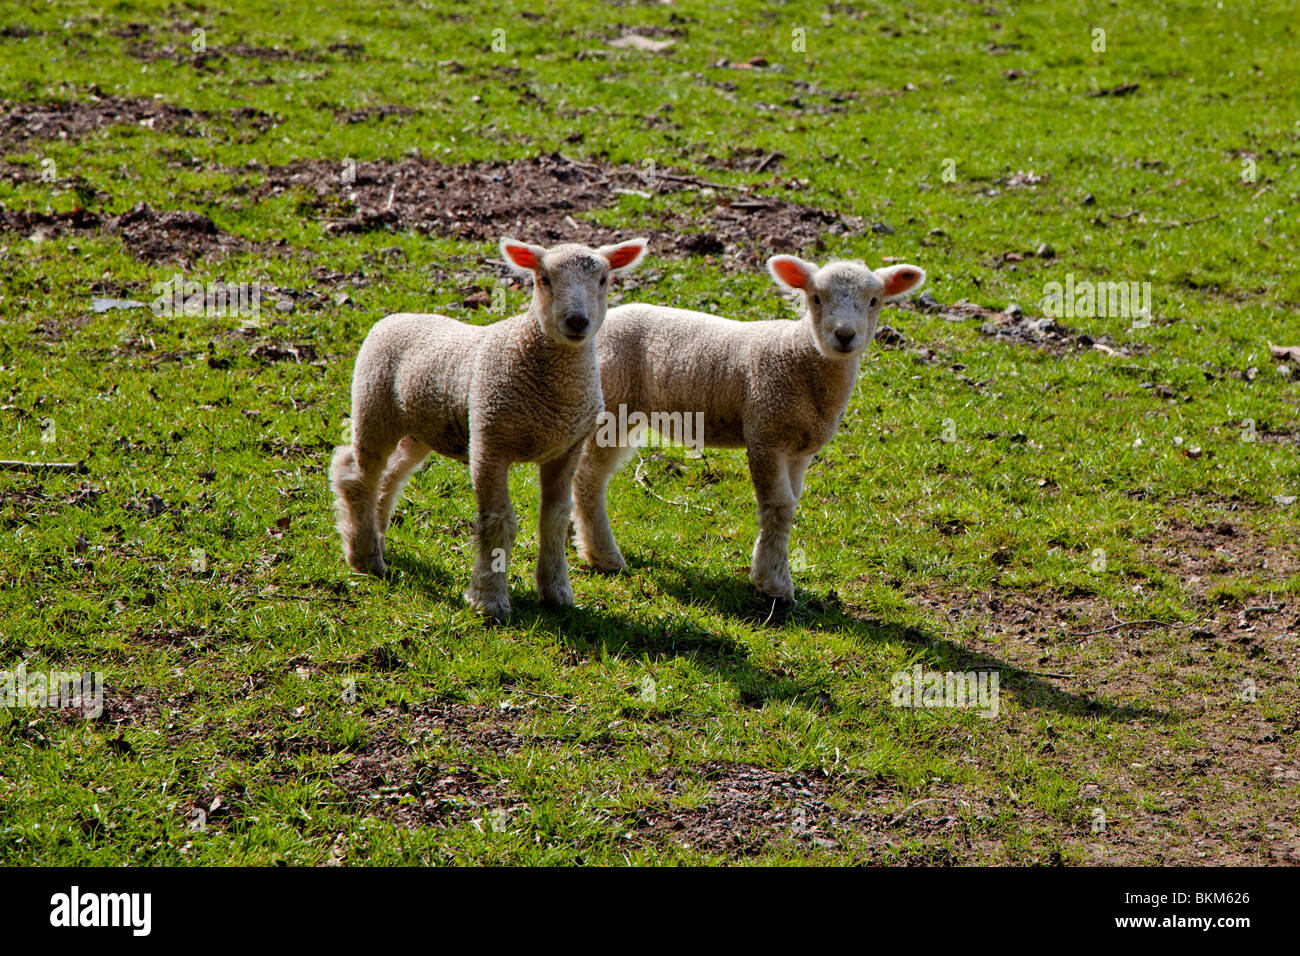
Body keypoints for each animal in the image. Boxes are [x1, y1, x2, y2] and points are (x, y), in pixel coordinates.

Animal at [330, 236, 648, 620]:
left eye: (603, 280)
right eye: (544, 279)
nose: (576, 321)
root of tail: (397, 317)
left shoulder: (566, 448)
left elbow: (555, 518)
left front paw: (557, 591)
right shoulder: (489, 441)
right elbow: (497, 521)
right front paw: (489, 599)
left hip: (419, 427)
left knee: (389, 478)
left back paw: (377, 539)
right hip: (374, 406)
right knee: (358, 475)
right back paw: (365, 557)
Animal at [571, 255, 925, 602]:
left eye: (874, 301)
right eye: (816, 298)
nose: (845, 335)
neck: (798, 354)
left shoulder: (799, 449)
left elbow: (790, 504)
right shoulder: (765, 434)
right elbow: (778, 506)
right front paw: (775, 583)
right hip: (612, 404)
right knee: (588, 477)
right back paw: (604, 556)